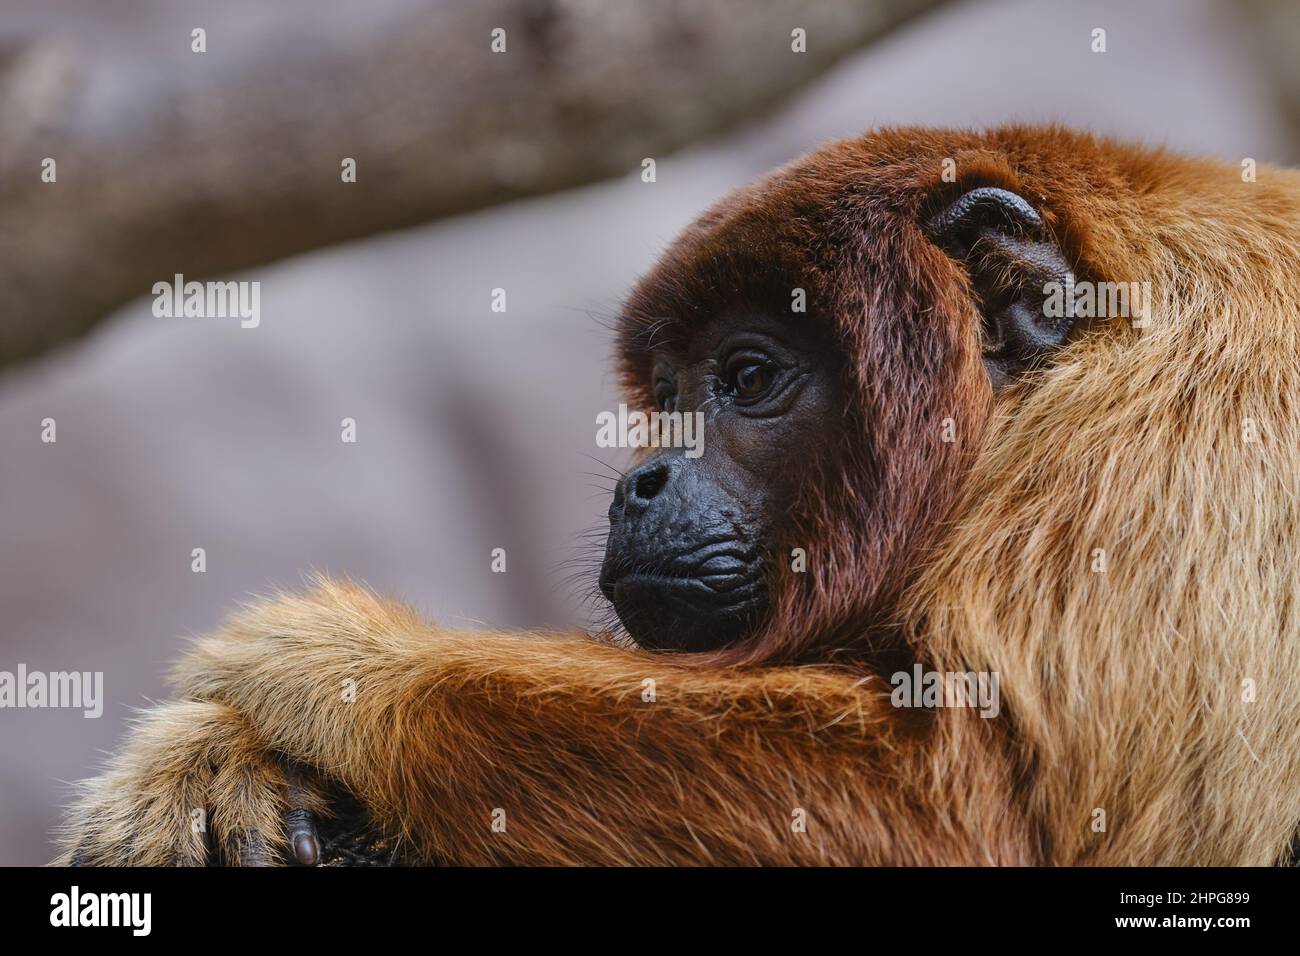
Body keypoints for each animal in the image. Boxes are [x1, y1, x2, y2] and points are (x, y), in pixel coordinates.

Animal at [57, 125, 1300, 866]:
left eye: (746, 378)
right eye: (664, 398)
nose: (637, 481)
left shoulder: (1172, 449)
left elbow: (960, 814)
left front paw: (342, 666)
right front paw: (209, 765)